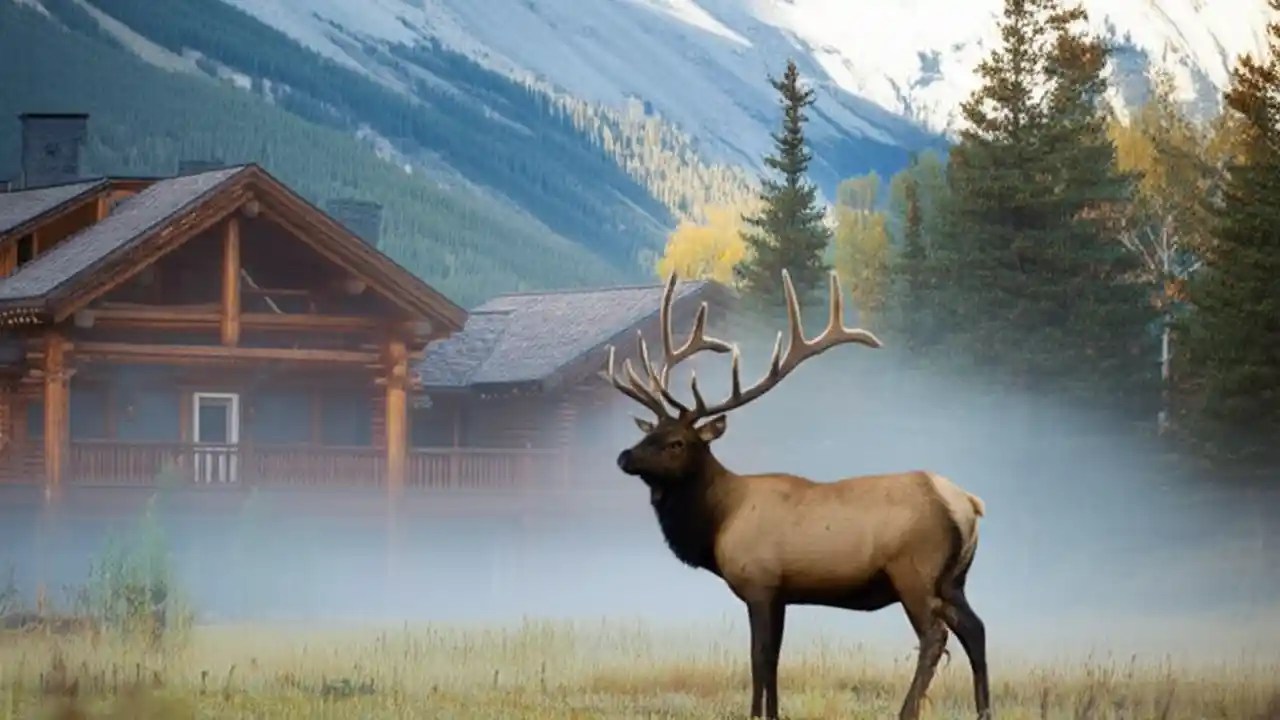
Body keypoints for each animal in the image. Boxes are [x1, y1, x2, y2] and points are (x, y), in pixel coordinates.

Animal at [601, 269, 991, 720]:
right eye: (648, 434)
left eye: (676, 442)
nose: (624, 456)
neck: (719, 521)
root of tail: (967, 503)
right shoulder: (783, 593)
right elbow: (774, 660)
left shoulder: (759, 582)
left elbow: (759, 657)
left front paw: (756, 714)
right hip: (954, 579)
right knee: (976, 629)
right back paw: (984, 711)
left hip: (914, 570)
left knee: (935, 637)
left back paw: (906, 712)